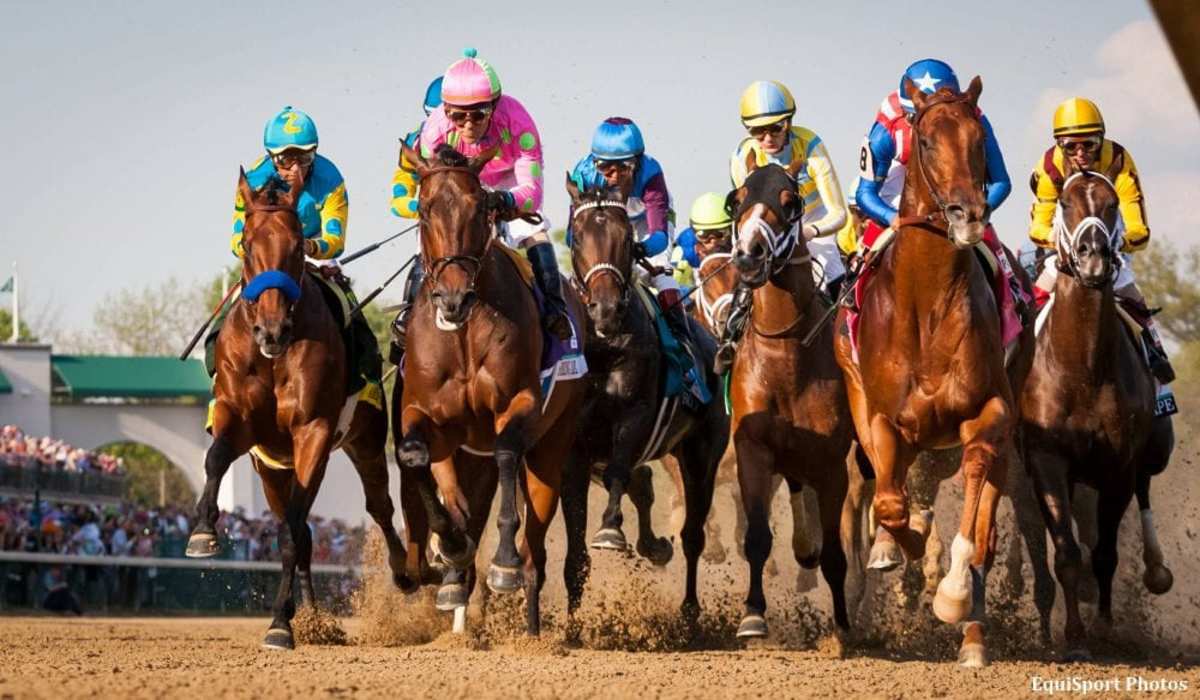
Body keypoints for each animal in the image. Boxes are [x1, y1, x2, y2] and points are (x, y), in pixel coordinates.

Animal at [187, 172, 409, 650]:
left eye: (295, 245)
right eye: (247, 243)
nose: (272, 330)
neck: (273, 357)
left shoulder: (313, 432)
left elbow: (291, 532)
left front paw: (279, 625)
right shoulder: (239, 421)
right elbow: (215, 459)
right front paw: (203, 532)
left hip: (363, 441)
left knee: (377, 507)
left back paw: (403, 572)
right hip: (273, 468)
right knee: (304, 530)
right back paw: (311, 616)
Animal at [392, 144, 588, 636]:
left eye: (480, 207)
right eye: (424, 210)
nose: (453, 298)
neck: (462, 334)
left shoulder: (519, 404)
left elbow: (506, 450)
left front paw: (503, 562)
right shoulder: (427, 416)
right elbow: (413, 457)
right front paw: (450, 545)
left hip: (551, 450)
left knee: (536, 552)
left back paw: (533, 629)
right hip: (467, 454)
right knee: (467, 505)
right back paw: (453, 579)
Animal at [560, 181, 728, 617]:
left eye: (626, 238)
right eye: (577, 236)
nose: (604, 309)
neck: (603, 347)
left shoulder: (634, 418)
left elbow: (619, 476)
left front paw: (609, 530)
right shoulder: (574, 449)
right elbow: (575, 559)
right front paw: (569, 625)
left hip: (701, 454)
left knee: (692, 534)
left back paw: (690, 611)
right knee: (645, 487)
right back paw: (654, 547)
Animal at [726, 156, 857, 639]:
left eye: (789, 201)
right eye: (738, 199)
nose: (748, 256)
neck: (785, 352)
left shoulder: (835, 465)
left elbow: (837, 555)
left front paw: (843, 626)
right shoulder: (752, 450)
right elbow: (757, 538)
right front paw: (752, 614)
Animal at [1019, 161, 1175, 660]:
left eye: (1111, 204)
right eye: (1065, 203)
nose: (1092, 258)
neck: (1082, 366)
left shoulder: (1119, 465)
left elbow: (1106, 552)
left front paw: (1104, 628)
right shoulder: (1047, 459)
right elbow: (1068, 552)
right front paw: (1074, 638)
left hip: (1149, 453)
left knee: (1142, 495)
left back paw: (1156, 570)